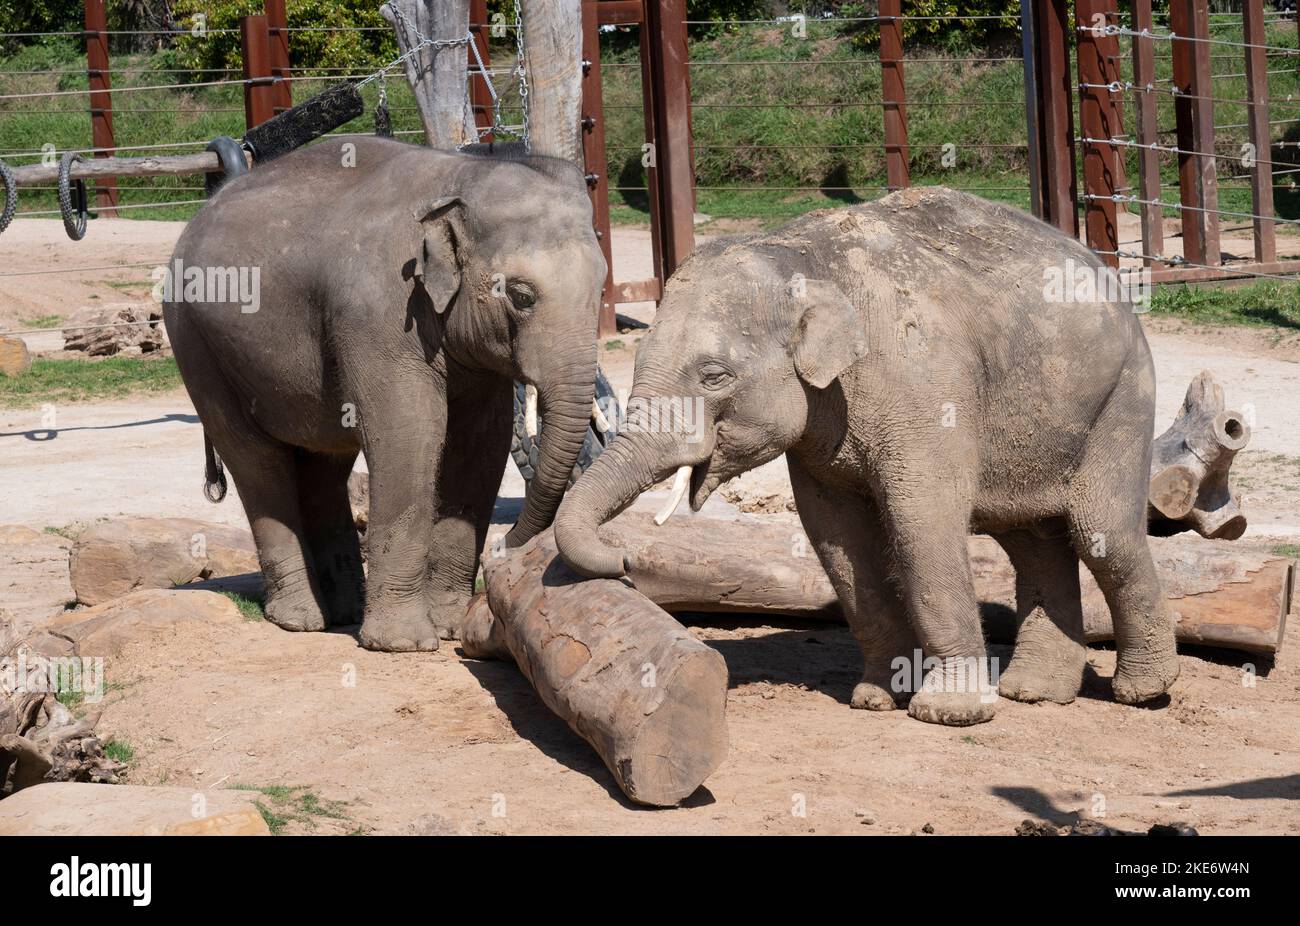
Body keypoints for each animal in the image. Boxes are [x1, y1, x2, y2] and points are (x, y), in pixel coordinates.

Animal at [163, 136, 606, 652]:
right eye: (520, 295)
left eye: (602, 289)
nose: (506, 545)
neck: (463, 174)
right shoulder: (381, 315)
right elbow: (410, 434)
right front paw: (403, 644)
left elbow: (479, 444)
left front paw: (450, 627)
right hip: (196, 345)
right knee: (257, 461)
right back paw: (301, 620)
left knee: (323, 461)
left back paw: (344, 612)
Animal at [552, 186, 1178, 726]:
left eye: (713, 375)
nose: (624, 560)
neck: (798, 256)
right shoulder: (822, 428)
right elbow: (836, 536)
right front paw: (877, 698)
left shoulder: (927, 385)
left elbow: (921, 521)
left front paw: (947, 713)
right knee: (1034, 541)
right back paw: (1036, 694)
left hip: (1123, 399)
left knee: (1102, 532)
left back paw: (1144, 692)